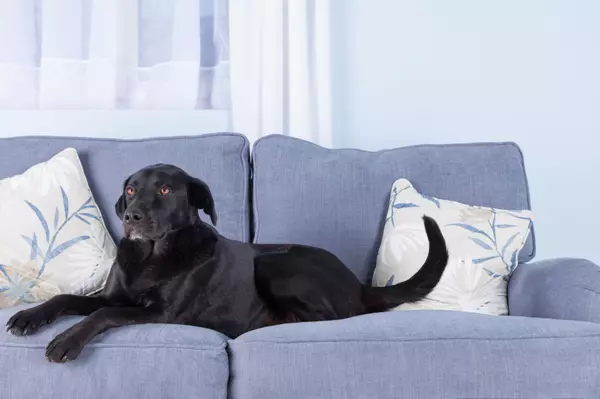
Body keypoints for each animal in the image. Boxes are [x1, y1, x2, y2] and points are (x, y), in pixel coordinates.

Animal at [3, 164, 446, 364]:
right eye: (130, 189)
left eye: (165, 190)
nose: (131, 217)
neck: (150, 256)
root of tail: (358, 284)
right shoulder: (113, 294)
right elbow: (66, 298)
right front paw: (30, 317)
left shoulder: (162, 313)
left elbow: (104, 314)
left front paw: (66, 340)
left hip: (274, 265)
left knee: (328, 316)